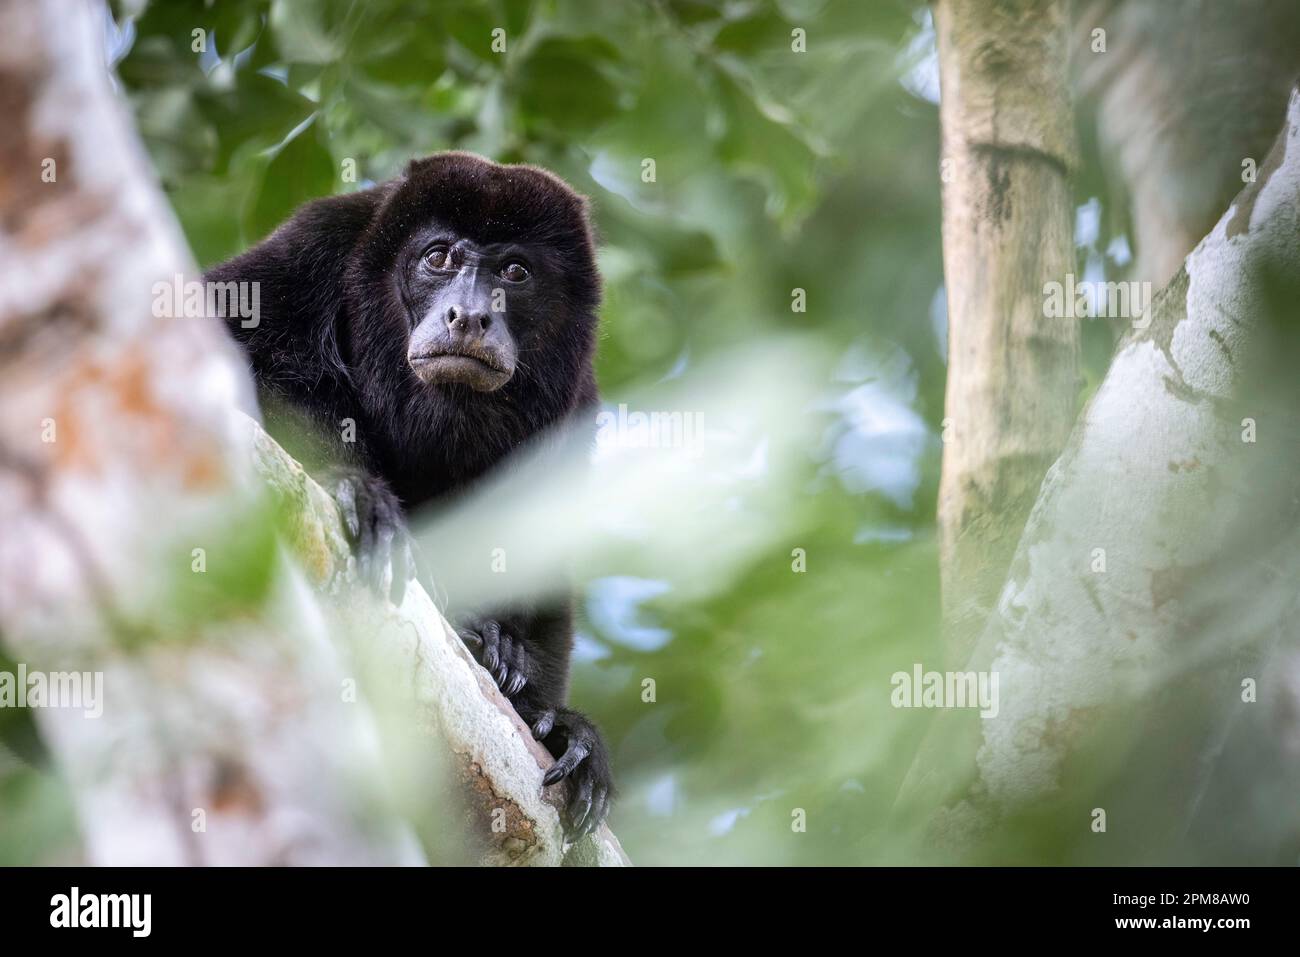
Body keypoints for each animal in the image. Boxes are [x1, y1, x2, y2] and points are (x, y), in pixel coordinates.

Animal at [206, 152, 613, 838]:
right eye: (439, 257)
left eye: (515, 271)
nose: (469, 316)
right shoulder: (312, 247)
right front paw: (356, 491)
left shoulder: (577, 399)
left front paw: (553, 720)